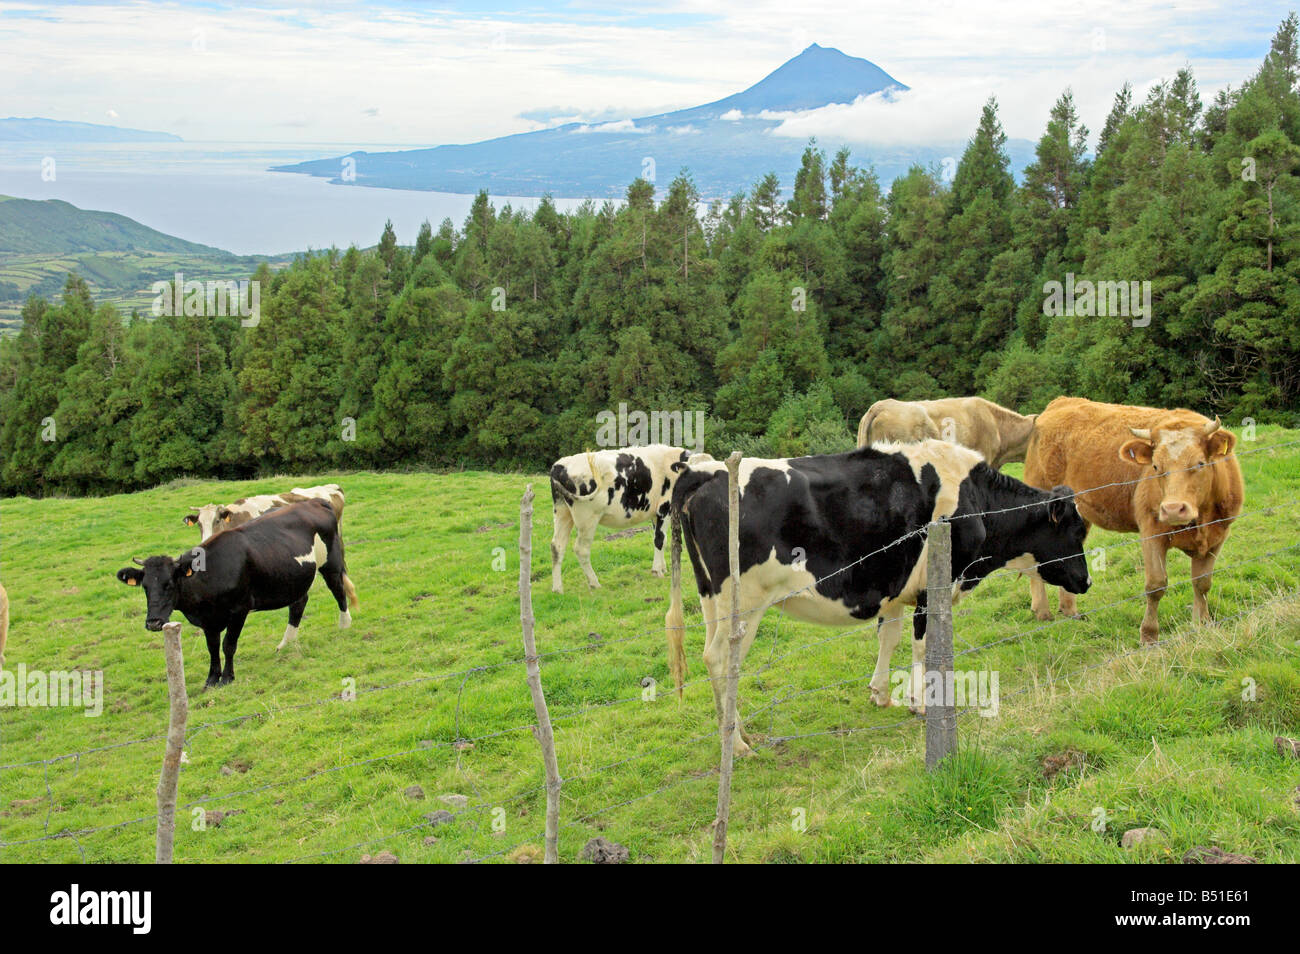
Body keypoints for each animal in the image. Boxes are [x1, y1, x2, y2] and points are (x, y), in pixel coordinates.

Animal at [117, 499, 359, 687]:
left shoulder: (239, 610)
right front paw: (211, 679)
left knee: (338, 590)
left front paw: (227, 678)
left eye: (169, 584)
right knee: (298, 603)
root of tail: (315, 501)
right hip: (294, 576)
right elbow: (212, 647)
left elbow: (228, 645)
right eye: (145, 587)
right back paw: (286, 644)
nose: (154, 622)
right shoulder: (209, 620)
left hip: (330, 563)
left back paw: (345, 624)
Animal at [549, 444, 690, 593]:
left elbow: (660, 539)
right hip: (587, 517)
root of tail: (560, 465)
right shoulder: (664, 507)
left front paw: (662, 568)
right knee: (581, 549)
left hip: (562, 512)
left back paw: (557, 588)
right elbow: (659, 540)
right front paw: (657, 571)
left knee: (557, 546)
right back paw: (594, 583)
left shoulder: (655, 513)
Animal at [665, 441, 1091, 755]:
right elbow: (923, 645)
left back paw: (733, 732)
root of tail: (705, 472)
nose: (1086, 582)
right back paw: (736, 743)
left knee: (711, 654)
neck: (973, 500)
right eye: (1075, 532)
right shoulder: (933, 587)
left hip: (710, 597)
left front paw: (881, 693)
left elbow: (889, 638)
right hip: (744, 604)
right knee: (719, 659)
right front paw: (922, 702)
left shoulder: (896, 588)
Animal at [1023, 397, 1243, 644]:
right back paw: (1042, 611)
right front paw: (1149, 635)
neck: (1200, 522)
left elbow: (1202, 583)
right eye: (1156, 467)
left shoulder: (1218, 536)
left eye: (1199, 463)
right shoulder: (1151, 531)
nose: (1173, 509)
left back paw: (1070, 610)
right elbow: (1156, 586)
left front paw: (1202, 624)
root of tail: (1060, 402)